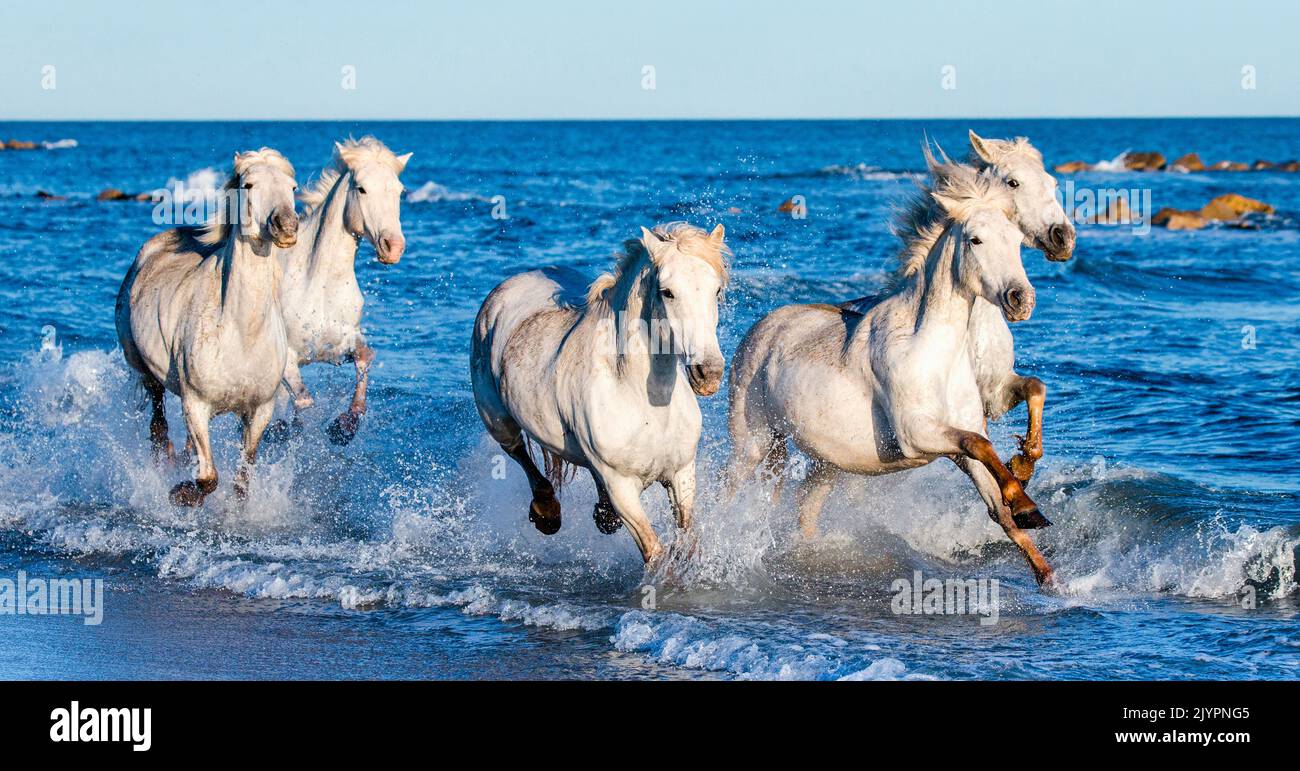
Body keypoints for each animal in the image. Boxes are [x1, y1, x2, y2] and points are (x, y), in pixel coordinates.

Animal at [115, 148, 299, 506]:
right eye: (249, 184)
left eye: (293, 187)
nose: (286, 226)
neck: (241, 332)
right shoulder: (196, 405)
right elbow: (209, 478)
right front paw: (181, 495)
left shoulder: (260, 411)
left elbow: (242, 481)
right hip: (145, 371)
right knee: (158, 423)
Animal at [275, 137, 411, 444]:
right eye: (361, 188)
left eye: (400, 190)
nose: (393, 247)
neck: (319, 286)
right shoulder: (287, 358)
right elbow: (302, 401)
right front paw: (283, 434)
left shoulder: (339, 345)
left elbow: (365, 357)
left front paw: (343, 427)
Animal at [471, 223, 729, 568]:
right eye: (667, 292)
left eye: (716, 290)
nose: (708, 373)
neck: (643, 400)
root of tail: (509, 285)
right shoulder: (621, 487)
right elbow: (655, 553)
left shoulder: (682, 474)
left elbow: (688, 542)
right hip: (497, 419)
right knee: (519, 453)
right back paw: (547, 513)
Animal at [727, 162, 1054, 585]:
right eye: (975, 240)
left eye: (1016, 241)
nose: (1020, 299)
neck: (934, 353)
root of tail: (761, 328)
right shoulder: (918, 434)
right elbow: (980, 445)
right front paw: (1025, 499)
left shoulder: (964, 434)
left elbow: (999, 504)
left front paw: (1043, 556)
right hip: (753, 444)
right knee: (725, 496)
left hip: (826, 464)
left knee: (805, 513)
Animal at [842, 132, 1075, 484]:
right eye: (1013, 182)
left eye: (1052, 182)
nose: (1063, 237)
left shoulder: (994, 393)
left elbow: (1036, 387)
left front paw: (1023, 463)